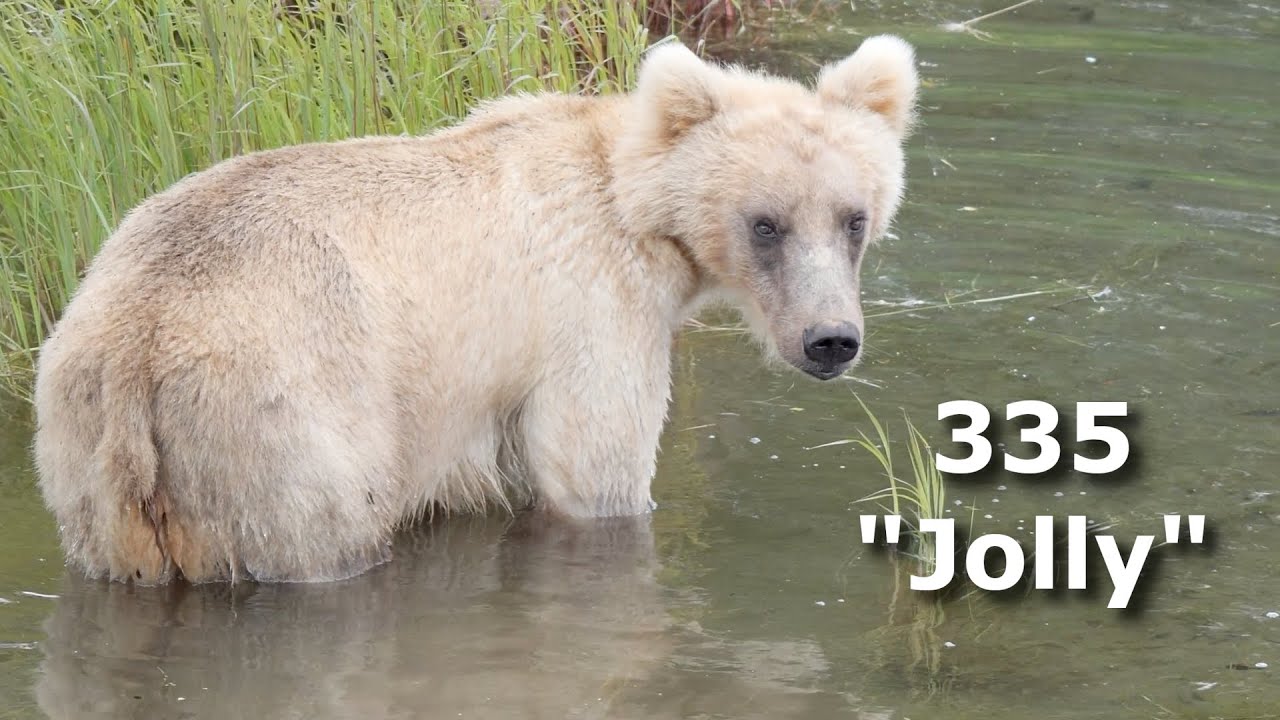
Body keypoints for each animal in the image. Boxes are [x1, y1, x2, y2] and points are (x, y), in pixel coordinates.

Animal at [32, 35, 919, 584]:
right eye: (766, 223)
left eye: (853, 217)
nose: (830, 340)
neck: (634, 209)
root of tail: (139, 346)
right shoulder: (589, 313)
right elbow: (595, 468)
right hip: (277, 417)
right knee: (320, 528)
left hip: (85, 449)